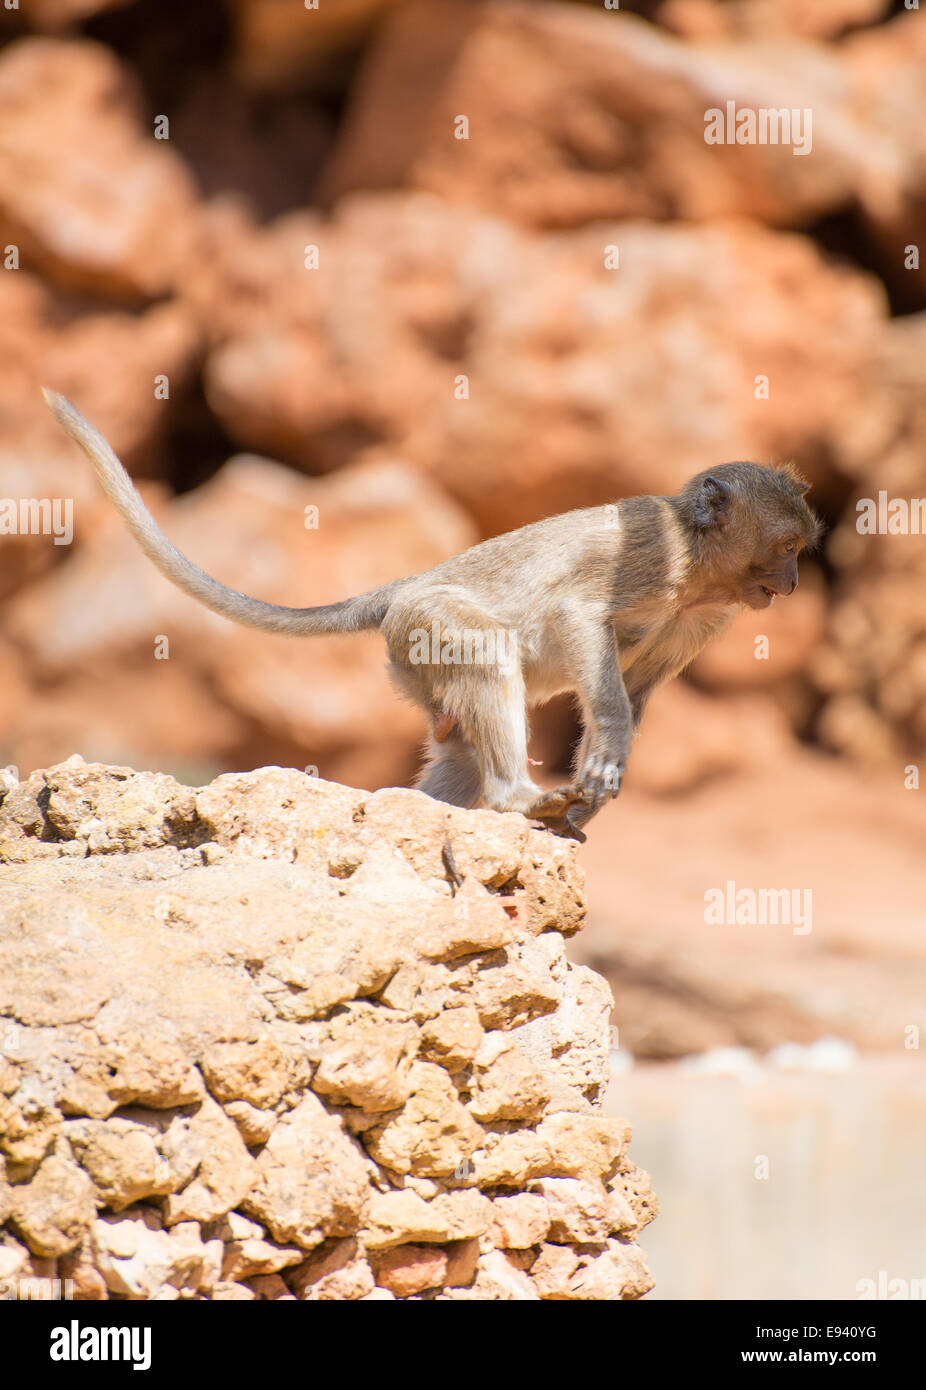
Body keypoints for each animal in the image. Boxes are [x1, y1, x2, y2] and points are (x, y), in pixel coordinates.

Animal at [42, 389, 822, 840]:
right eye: (786, 547)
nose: (787, 585)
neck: (696, 565)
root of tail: (406, 587)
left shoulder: (709, 613)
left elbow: (639, 685)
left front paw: (596, 789)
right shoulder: (655, 558)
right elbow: (581, 623)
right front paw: (604, 757)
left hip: (416, 666)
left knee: (458, 743)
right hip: (430, 622)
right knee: (487, 658)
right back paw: (512, 799)